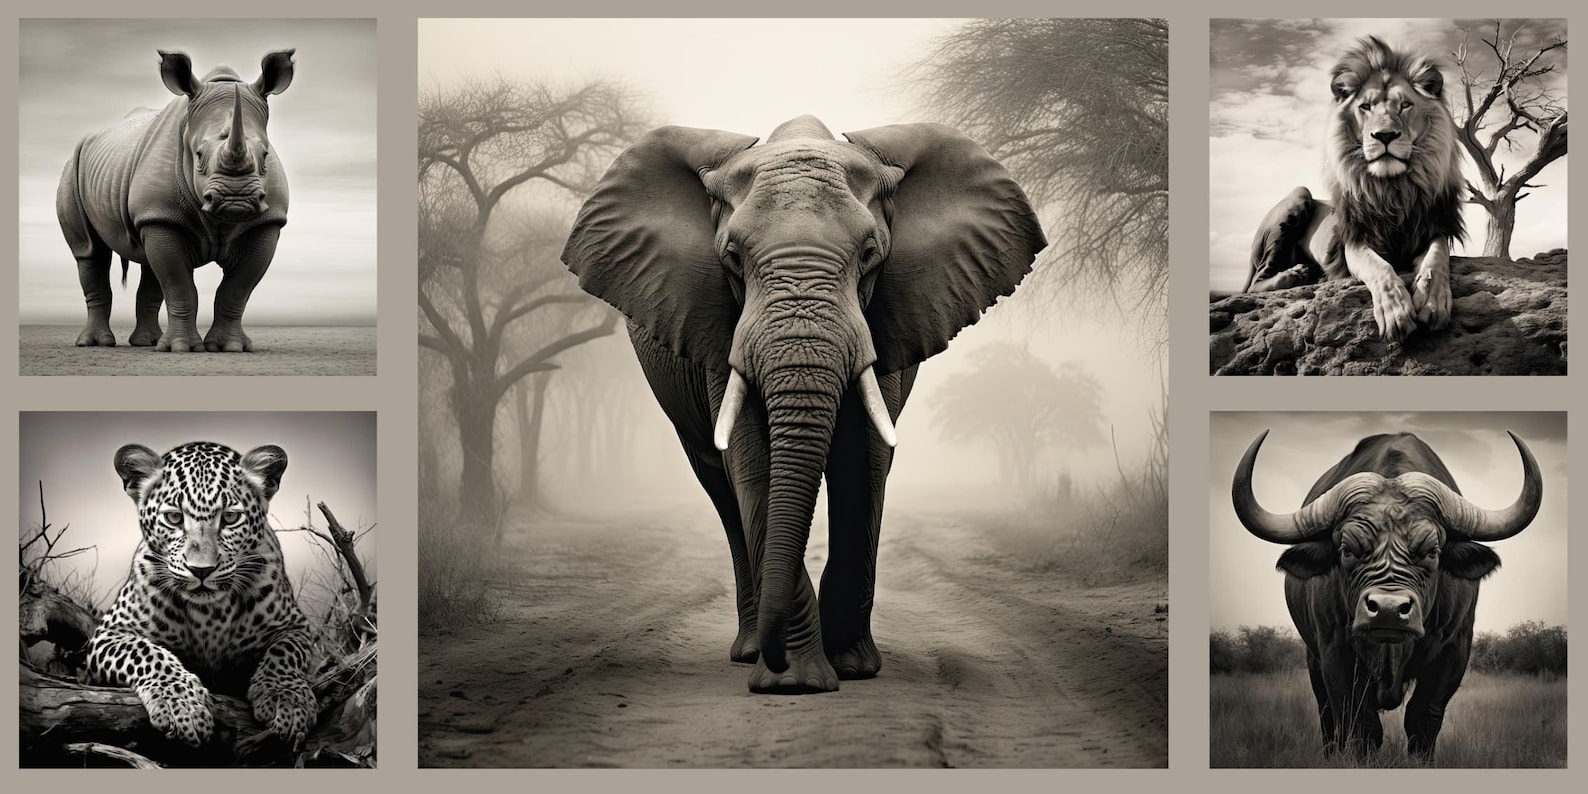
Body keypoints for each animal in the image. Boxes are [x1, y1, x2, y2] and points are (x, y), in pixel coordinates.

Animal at [56, 49, 294, 352]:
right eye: (199, 155)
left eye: (265, 155)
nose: (235, 198)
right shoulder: (162, 213)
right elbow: (179, 285)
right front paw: (182, 348)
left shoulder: (266, 222)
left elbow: (236, 291)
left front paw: (230, 348)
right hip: (73, 169)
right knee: (90, 252)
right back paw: (96, 343)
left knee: (148, 262)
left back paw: (146, 342)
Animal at [562, 115, 1046, 693]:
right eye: (732, 258)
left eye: (870, 255)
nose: (776, 659)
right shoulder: (718, 325)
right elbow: (753, 462)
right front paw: (794, 682)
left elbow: (863, 459)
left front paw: (851, 669)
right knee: (720, 487)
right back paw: (750, 651)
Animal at [1232, 431, 1543, 758]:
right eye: (1348, 550)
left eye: (1431, 551)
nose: (1388, 610)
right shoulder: (1333, 650)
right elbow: (1360, 724)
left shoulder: (1455, 650)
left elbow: (1423, 719)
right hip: (1313, 661)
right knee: (1328, 716)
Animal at [1242, 35, 1466, 341]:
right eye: (1365, 107)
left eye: (1405, 105)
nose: (1385, 135)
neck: (1393, 189)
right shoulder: (1354, 242)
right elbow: (1379, 267)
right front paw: (1395, 311)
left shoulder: (1432, 229)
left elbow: (1436, 259)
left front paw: (1433, 300)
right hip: (1299, 194)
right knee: (1256, 281)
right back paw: (1294, 275)